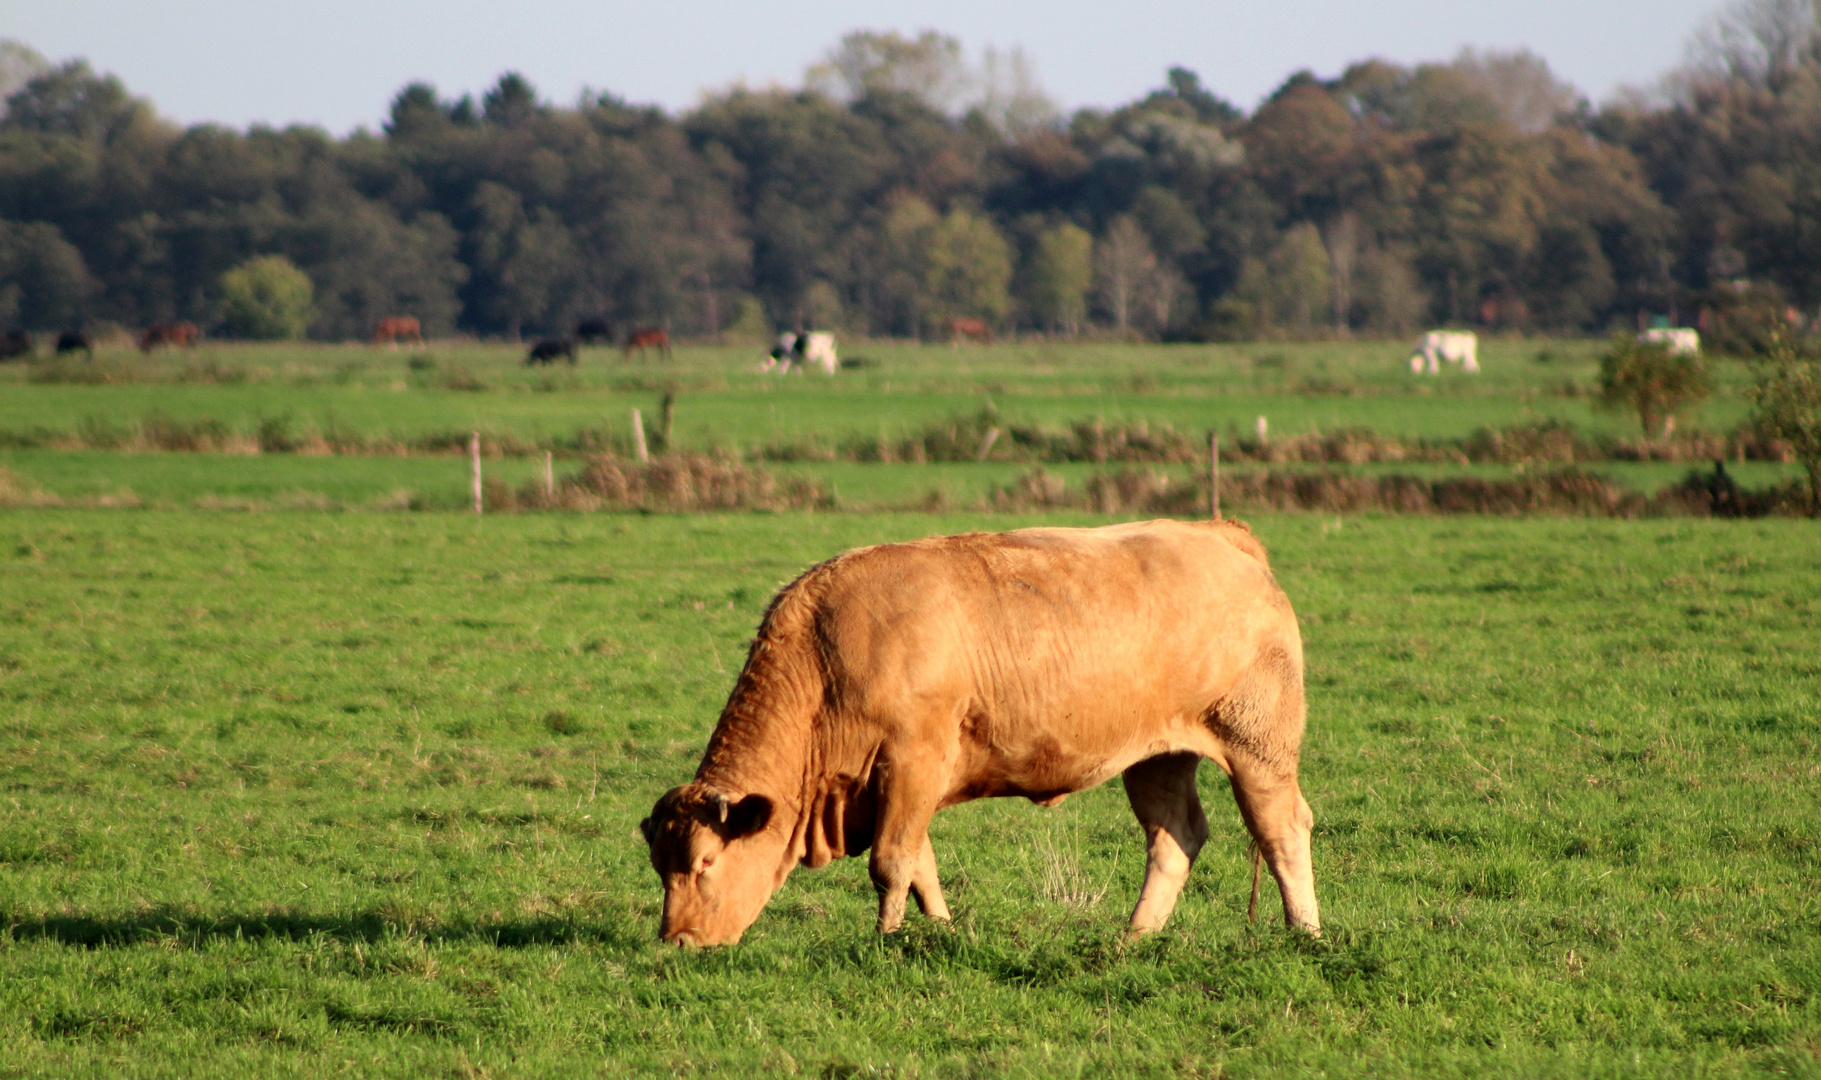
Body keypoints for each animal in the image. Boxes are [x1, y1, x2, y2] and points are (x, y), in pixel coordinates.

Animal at [644, 517, 1325, 947]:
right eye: (659, 866)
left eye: (705, 861)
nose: (675, 941)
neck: (827, 651)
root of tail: (1220, 535)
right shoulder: (901, 785)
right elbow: (920, 863)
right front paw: (939, 930)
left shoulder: (913, 759)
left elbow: (892, 863)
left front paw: (884, 939)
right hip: (1156, 756)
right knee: (1175, 837)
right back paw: (1134, 938)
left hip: (1258, 746)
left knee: (1281, 828)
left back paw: (1306, 932)